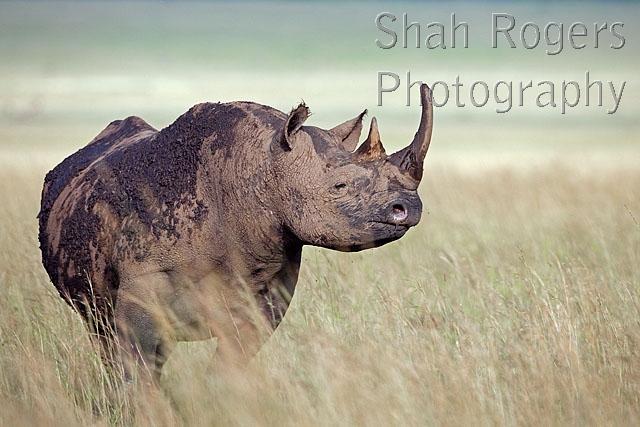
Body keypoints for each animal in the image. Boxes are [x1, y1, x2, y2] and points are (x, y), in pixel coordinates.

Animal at [38, 83, 434, 380]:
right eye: (339, 186)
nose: (408, 207)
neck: (261, 165)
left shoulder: (268, 291)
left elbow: (229, 366)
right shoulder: (142, 285)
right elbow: (137, 367)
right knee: (104, 336)